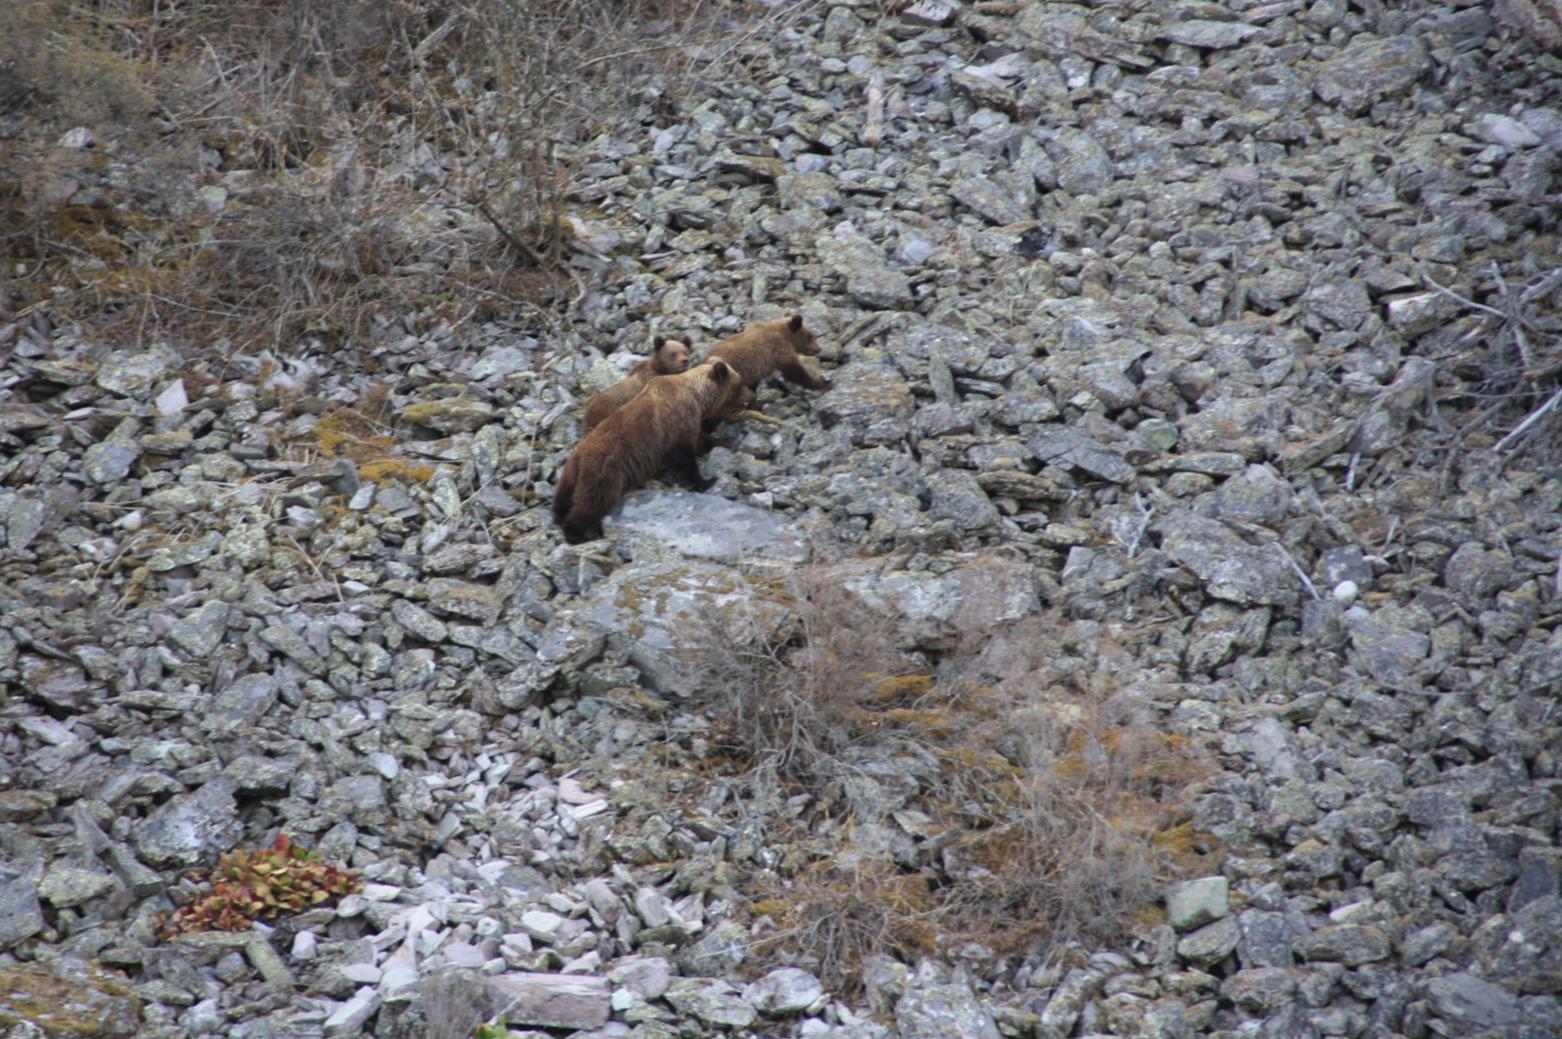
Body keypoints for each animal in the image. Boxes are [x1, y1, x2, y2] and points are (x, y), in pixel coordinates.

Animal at [552, 359, 752, 543]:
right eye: (739, 384)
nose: (752, 396)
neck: (696, 396)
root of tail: (579, 457)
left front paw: (721, 442)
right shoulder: (677, 424)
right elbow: (685, 457)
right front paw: (707, 480)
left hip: (570, 475)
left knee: (563, 498)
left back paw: (560, 517)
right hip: (604, 471)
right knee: (592, 501)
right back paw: (576, 533)